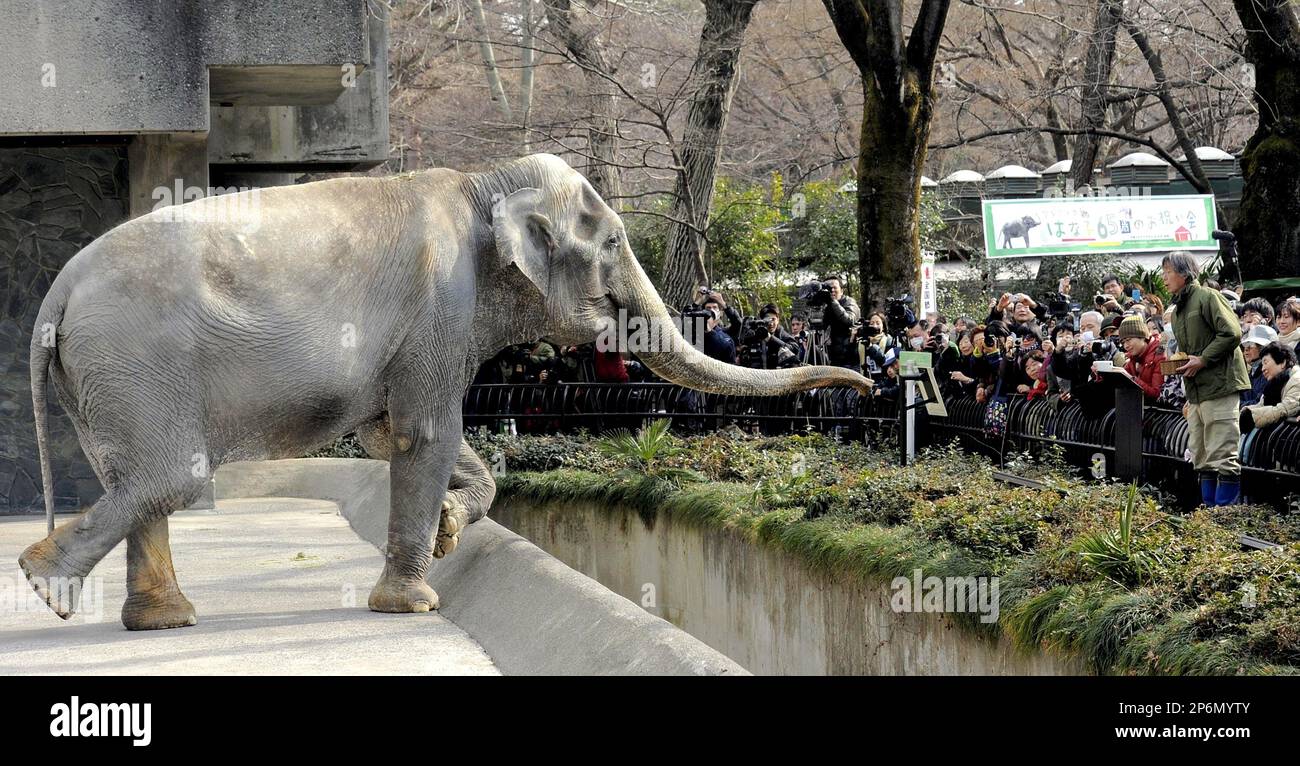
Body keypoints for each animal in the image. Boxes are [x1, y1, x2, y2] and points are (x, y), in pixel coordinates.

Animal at [20, 153, 873, 630]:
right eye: (615, 242)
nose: (864, 379)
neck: (483, 183)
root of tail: (56, 294)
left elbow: (386, 433)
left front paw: (450, 531)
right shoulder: (440, 301)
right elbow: (422, 433)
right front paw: (415, 603)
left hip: (106, 376)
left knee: (132, 479)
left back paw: (161, 622)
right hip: (136, 359)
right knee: (168, 477)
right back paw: (44, 585)